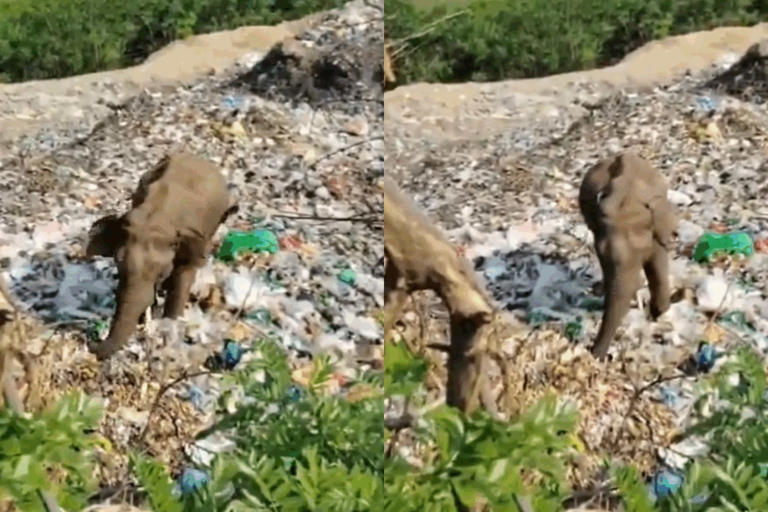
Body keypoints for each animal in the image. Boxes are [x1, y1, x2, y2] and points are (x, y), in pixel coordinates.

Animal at [86, 152, 237, 360]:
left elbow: (184, 276)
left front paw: (170, 327)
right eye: (118, 265)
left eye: (160, 273)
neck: (157, 217)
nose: (91, 342)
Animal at [578, 152, 677, 359]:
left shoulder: (656, 232)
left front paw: (658, 312)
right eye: (601, 252)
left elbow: (657, 262)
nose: (594, 355)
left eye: (640, 252)